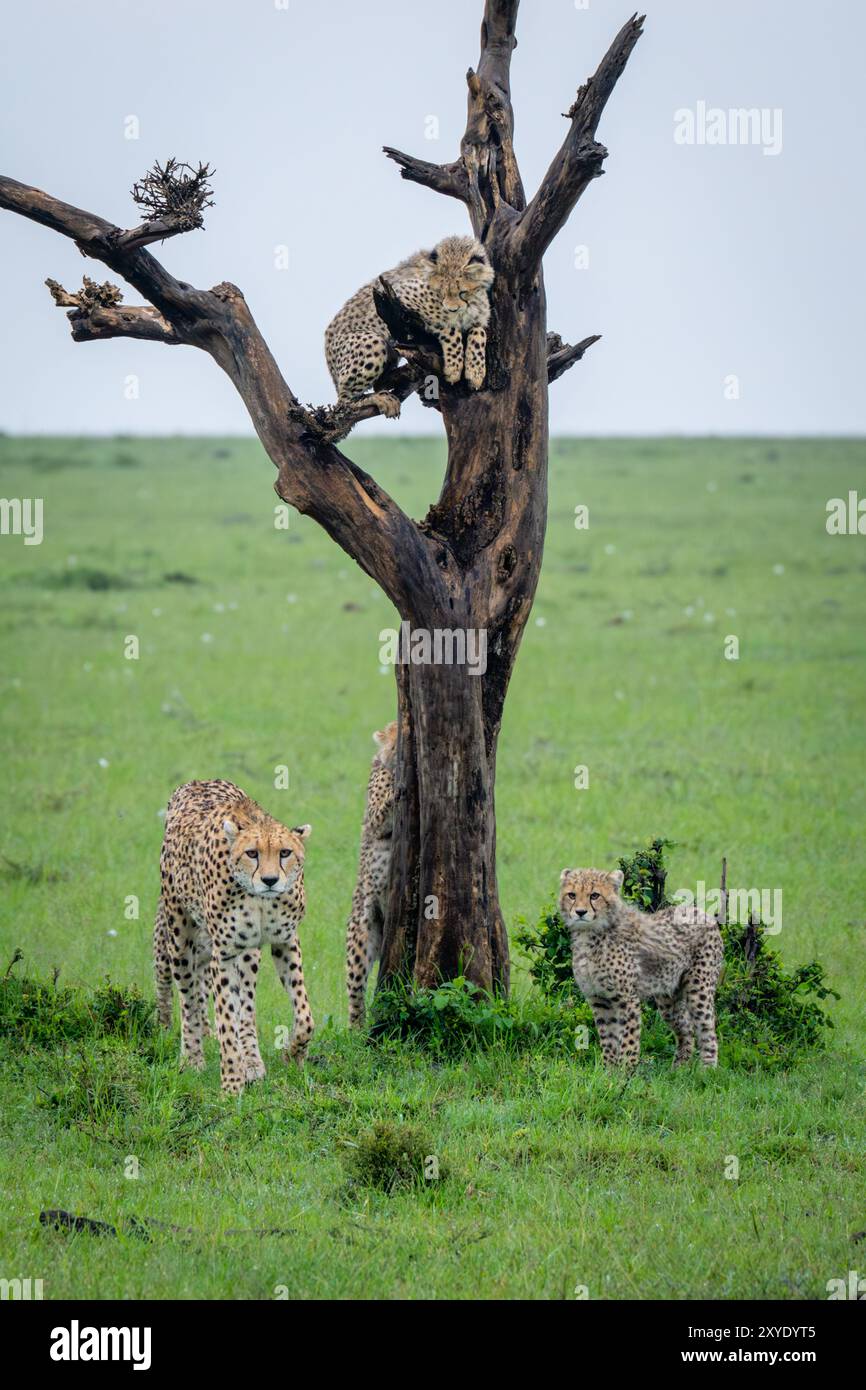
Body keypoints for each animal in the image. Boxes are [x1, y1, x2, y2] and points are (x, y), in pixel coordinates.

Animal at [154, 778, 313, 1095]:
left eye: (285, 853)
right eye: (252, 853)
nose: (269, 881)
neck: (260, 899)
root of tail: (199, 781)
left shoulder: (285, 941)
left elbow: (304, 1015)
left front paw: (292, 1054)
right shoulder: (224, 954)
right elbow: (225, 1019)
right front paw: (230, 1085)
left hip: (249, 953)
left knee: (246, 1006)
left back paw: (252, 1062)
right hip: (179, 937)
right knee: (189, 1001)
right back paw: (192, 1058)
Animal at [324, 235, 494, 420]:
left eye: (462, 292)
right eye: (440, 293)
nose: (453, 309)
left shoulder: (477, 317)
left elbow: (479, 333)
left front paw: (476, 371)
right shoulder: (402, 297)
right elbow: (448, 327)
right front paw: (454, 367)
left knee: (376, 385)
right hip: (372, 341)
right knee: (343, 403)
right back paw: (380, 398)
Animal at [558, 868, 724, 1069]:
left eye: (595, 895)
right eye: (572, 895)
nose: (580, 912)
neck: (590, 934)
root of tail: (701, 912)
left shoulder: (626, 999)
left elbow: (628, 1040)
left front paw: (625, 1072)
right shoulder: (599, 998)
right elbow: (608, 1038)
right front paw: (608, 1071)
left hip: (699, 989)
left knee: (708, 1030)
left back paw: (707, 1070)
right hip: (668, 999)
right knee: (686, 1029)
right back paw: (678, 1070)